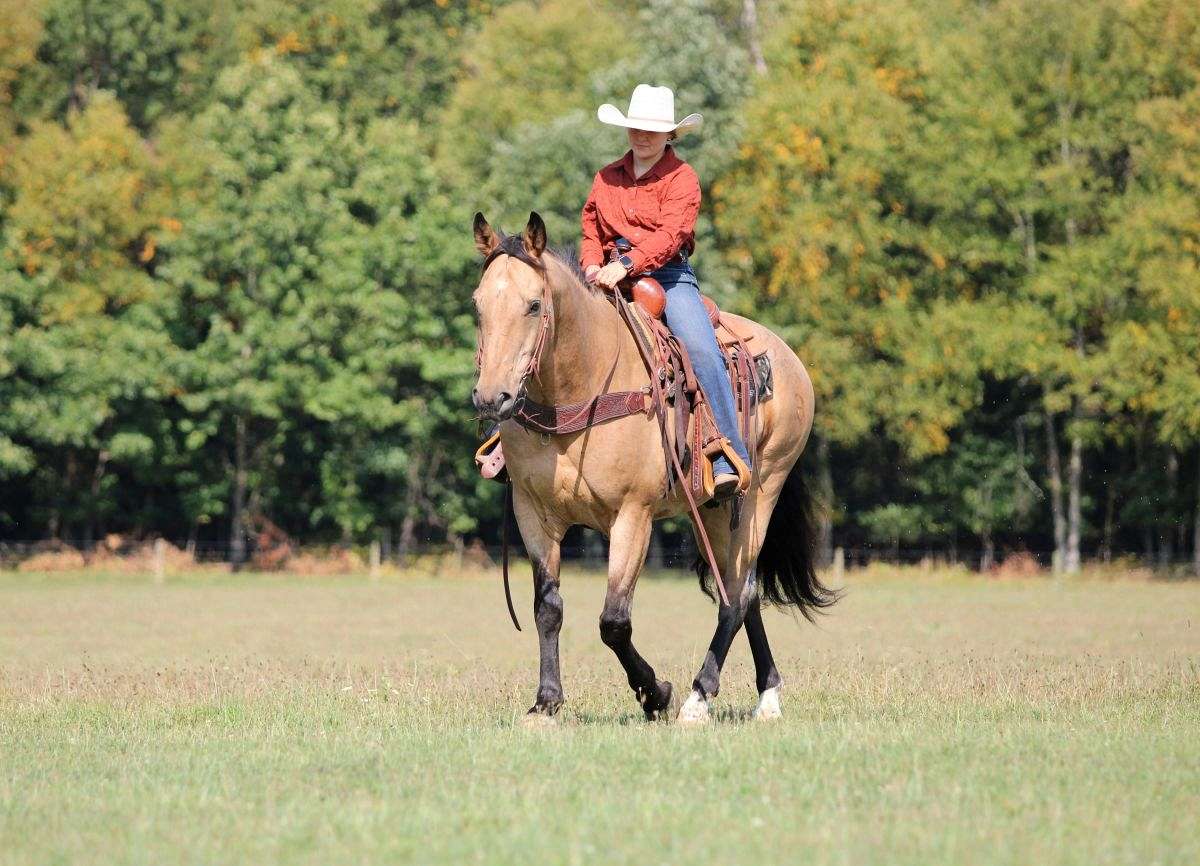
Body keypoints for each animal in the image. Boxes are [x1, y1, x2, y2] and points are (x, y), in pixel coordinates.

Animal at [470, 211, 839, 724]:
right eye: (478, 305)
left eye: (533, 304)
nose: (491, 398)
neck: (580, 388)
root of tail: (788, 359)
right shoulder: (532, 513)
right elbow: (549, 607)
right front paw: (546, 702)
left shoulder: (633, 515)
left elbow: (613, 621)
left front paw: (656, 693)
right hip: (713, 510)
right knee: (739, 591)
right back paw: (767, 695)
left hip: (761, 494)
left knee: (741, 593)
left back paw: (698, 698)